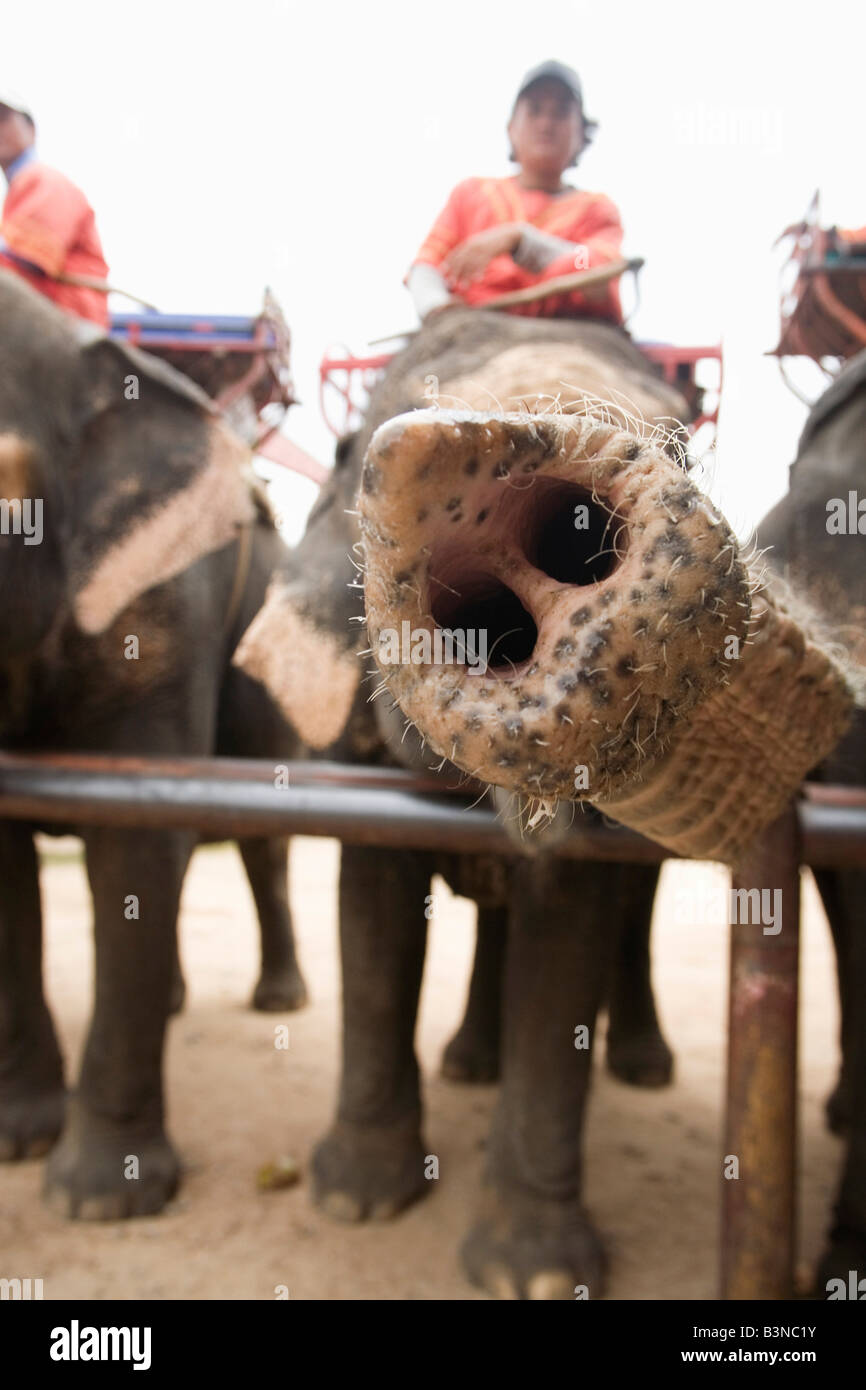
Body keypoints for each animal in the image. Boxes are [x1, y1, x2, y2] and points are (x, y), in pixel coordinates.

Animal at [0, 272, 306, 1215]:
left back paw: (279, 1002)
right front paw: (18, 1141)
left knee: (262, 840)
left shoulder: (170, 596)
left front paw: (100, 1200)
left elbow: (137, 838)